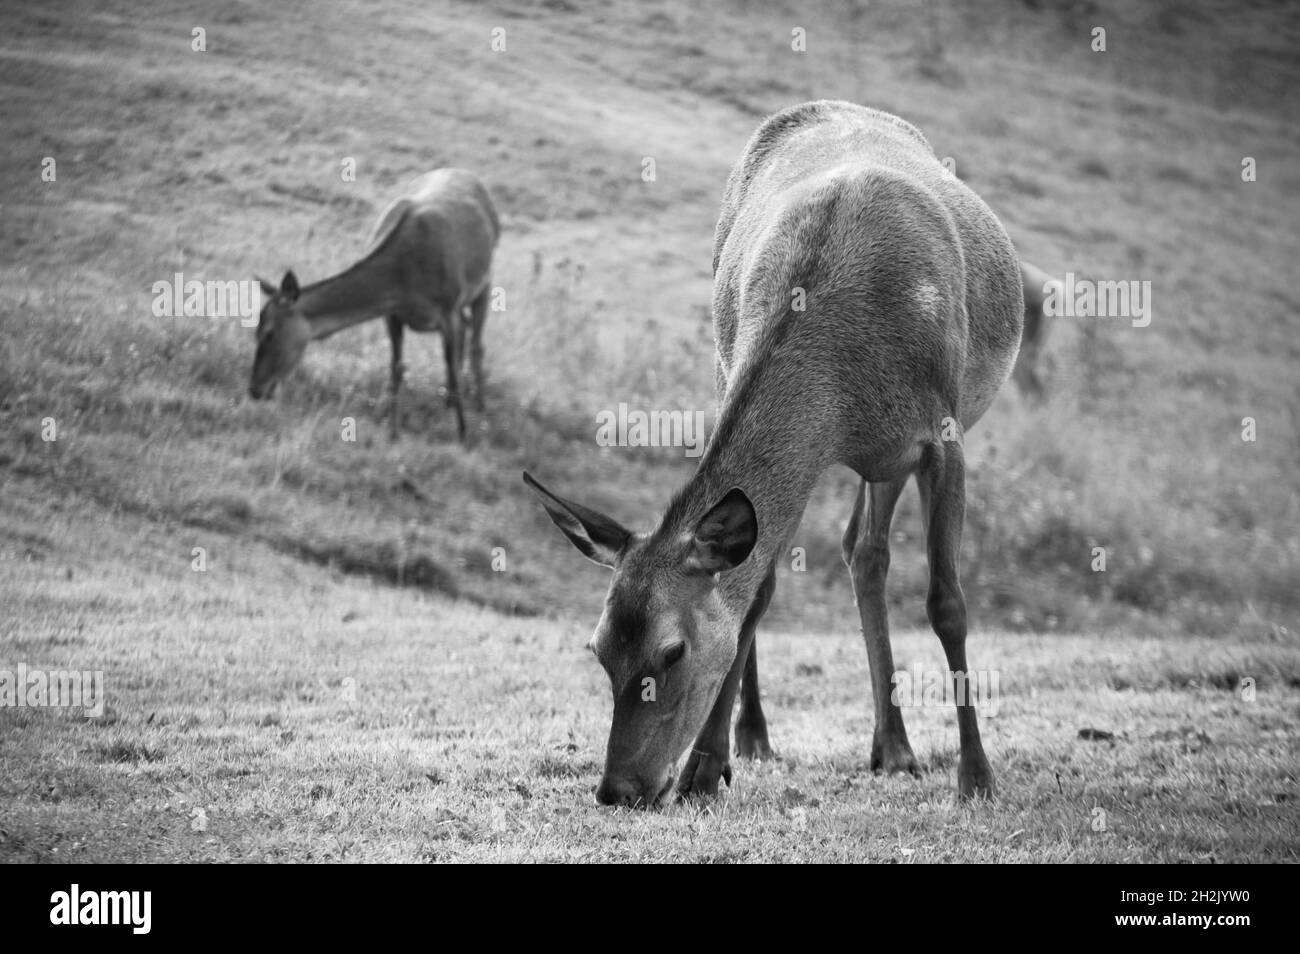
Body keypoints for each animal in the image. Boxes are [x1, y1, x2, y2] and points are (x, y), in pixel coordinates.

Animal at [249, 168, 500, 442]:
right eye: (254, 332)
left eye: (269, 333)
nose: (255, 389)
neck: (404, 281)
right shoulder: (392, 314)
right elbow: (396, 369)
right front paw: (393, 430)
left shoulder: (448, 307)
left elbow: (452, 370)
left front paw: (464, 434)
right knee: (464, 335)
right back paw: (452, 401)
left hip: (484, 281)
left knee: (476, 343)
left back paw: (480, 404)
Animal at [525, 101, 1024, 808]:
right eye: (598, 650)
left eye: (671, 653)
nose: (617, 788)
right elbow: (755, 592)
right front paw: (708, 766)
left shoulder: (942, 432)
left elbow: (947, 604)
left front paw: (977, 775)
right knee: (855, 553)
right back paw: (788, 740)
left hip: (896, 454)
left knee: (866, 552)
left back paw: (896, 749)